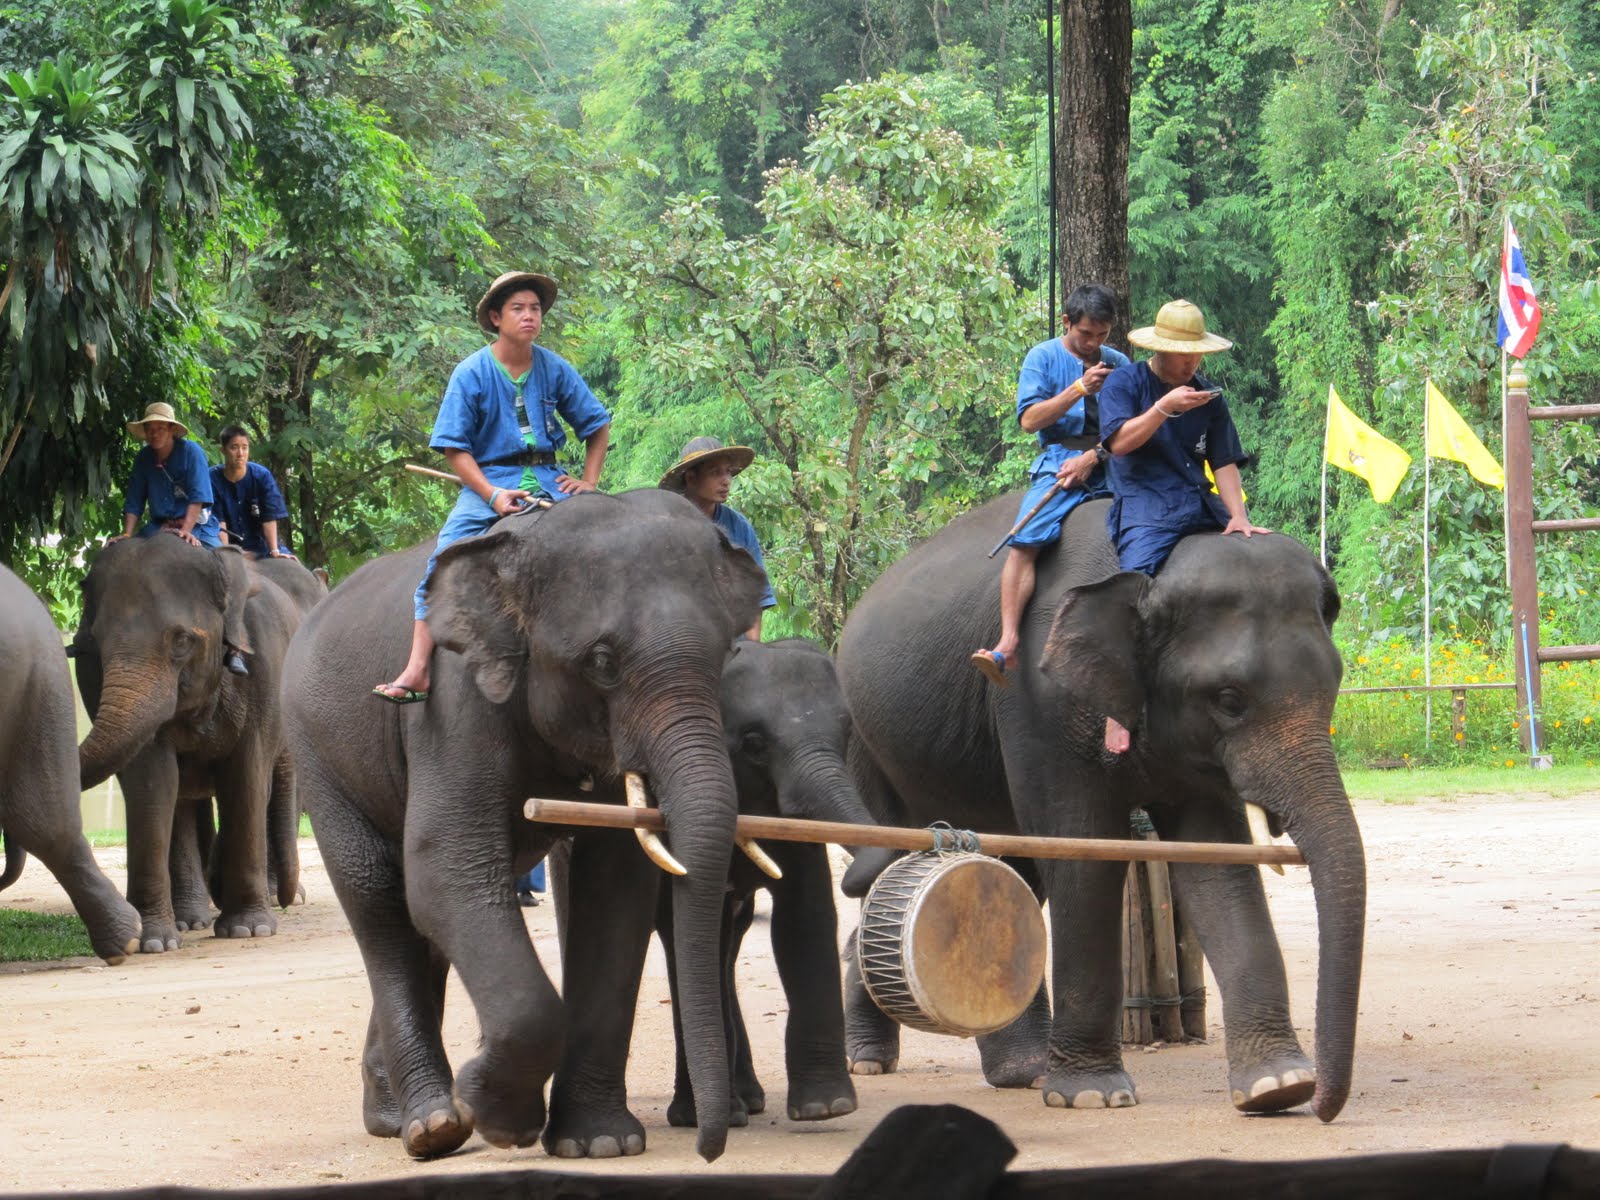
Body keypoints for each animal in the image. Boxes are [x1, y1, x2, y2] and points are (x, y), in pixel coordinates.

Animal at [73, 538, 320, 951]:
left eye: (182, 641)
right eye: (97, 641)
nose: (287, 900)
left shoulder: (262, 673)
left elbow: (245, 779)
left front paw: (248, 929)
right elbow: (154, 781)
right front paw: (154, 942)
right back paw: (191, 920)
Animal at [280, 490, 768, 1164]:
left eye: (726, 653)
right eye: (602, 661)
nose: (709, 1149)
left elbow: (614, 889)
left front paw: (600, 1143)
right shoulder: (453, 706)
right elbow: (446, 870)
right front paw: (498, 1116)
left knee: (421, 921)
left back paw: (393, 1116)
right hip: (317, 751)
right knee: (380, 896)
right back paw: (431, 1126)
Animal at [654, 637, 873, 1131]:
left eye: (847, 731)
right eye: (753, 744)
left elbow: (805, 915)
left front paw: (826, 1109)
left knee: (728, 946)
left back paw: (747, 1099)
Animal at [836, 495, 1364, 1124]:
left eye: (1334, 684)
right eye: (1229, 699)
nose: (1328, 1108)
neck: (1146, 570)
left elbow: (1215, 860)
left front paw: (1277, 1087)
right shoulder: (1038, 699)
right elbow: (1082, 852)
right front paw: (1093, 1095)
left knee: (1012, 869)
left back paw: (1018, 1070)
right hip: (867, 745)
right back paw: (875, 1062)